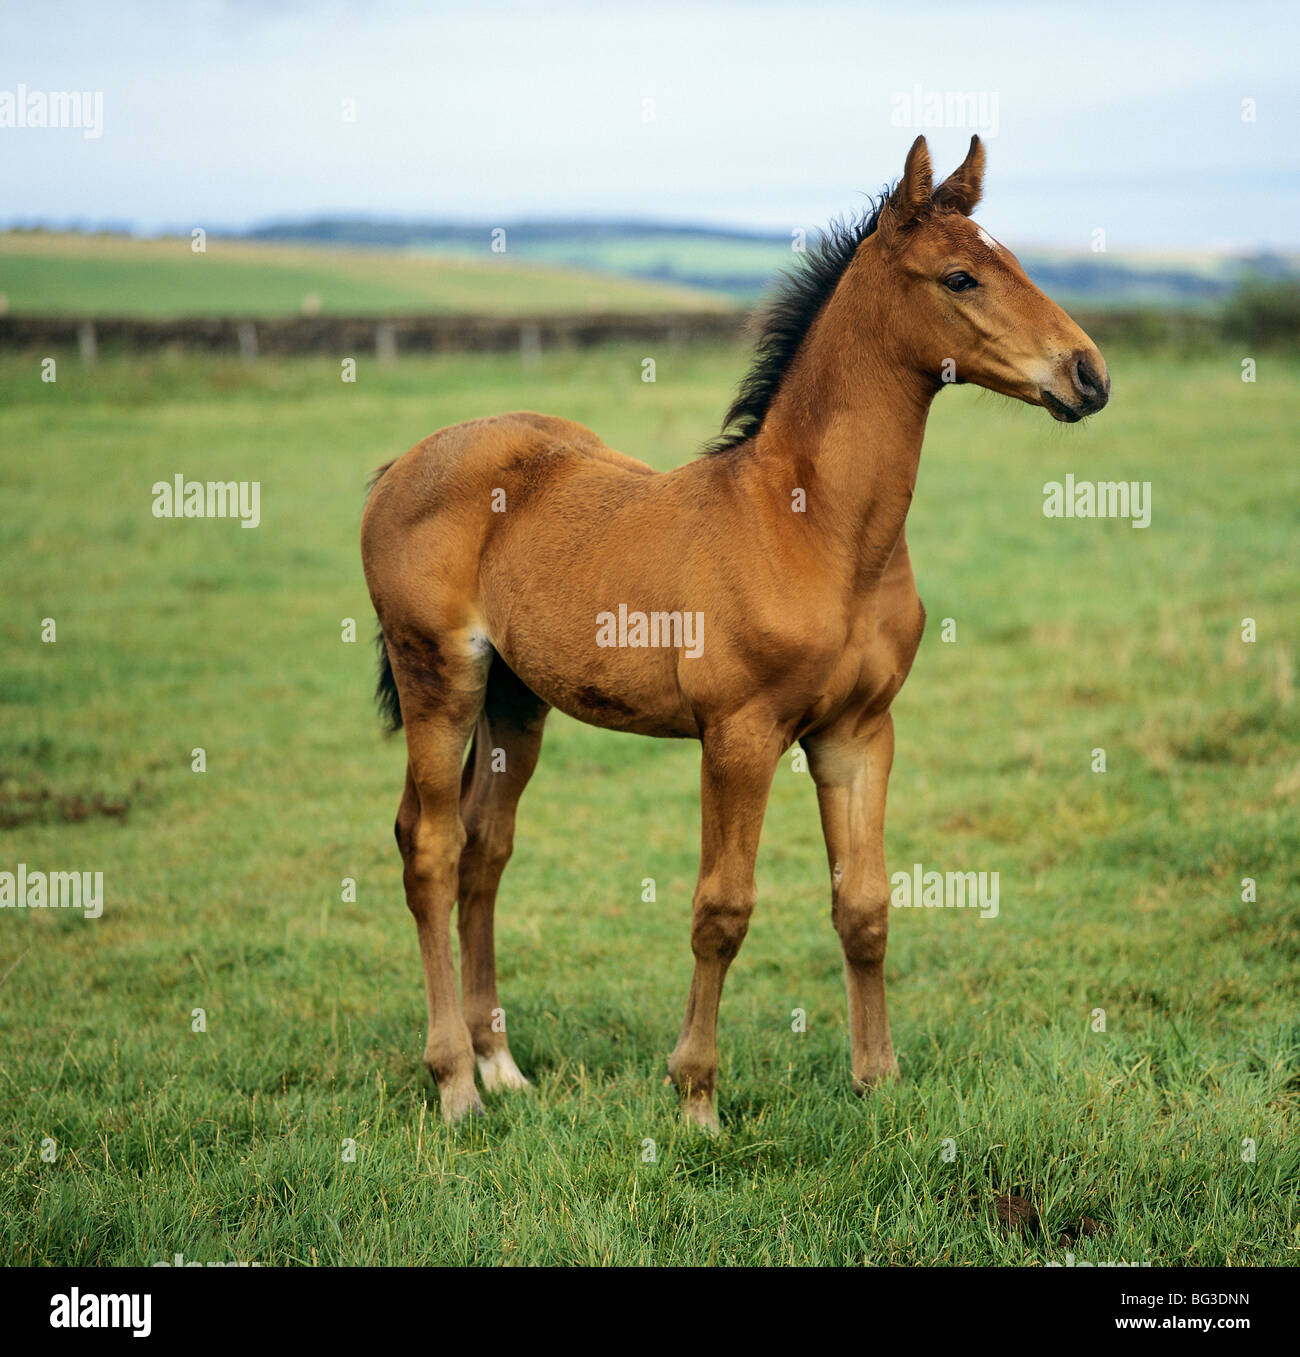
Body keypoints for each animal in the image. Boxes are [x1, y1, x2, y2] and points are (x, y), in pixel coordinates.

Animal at [361, 135, 1110, 1129]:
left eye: (1017, 258)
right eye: (961, 276)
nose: (1089, 376)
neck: (817, 528)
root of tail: (400, 463)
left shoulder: (859, 733)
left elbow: (865, 904)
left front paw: (878, 1081)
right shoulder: (740, 736)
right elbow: (722, 910)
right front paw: (696, 1099)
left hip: (515, 699)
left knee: (486, 851)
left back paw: (501, 1067)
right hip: (439, 679)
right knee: (432, 850)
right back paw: (453, 1085)